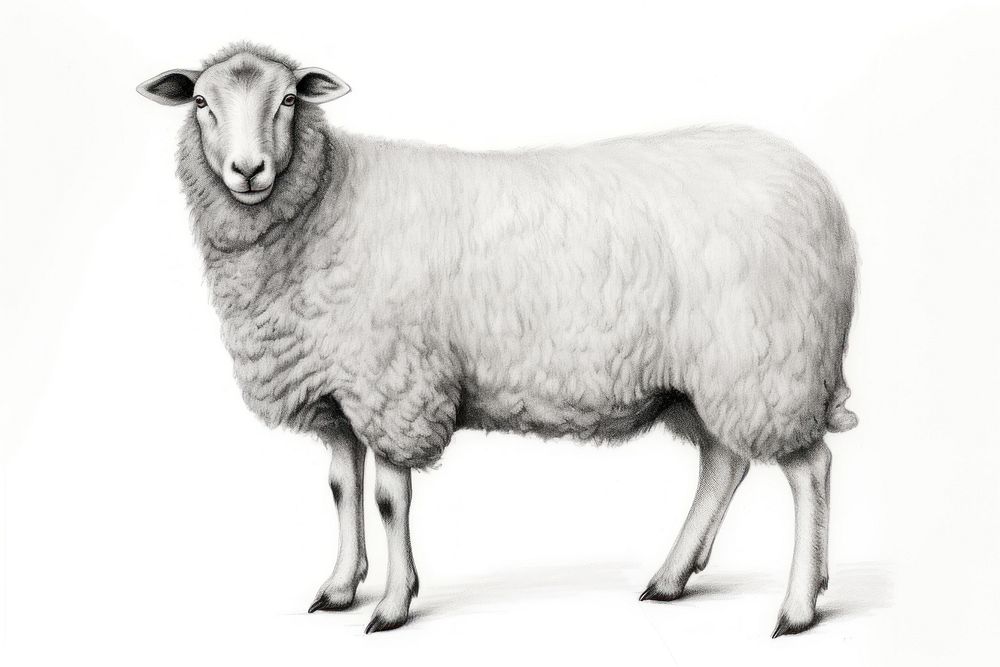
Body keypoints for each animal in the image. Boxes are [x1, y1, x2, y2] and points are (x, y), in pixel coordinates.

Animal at [138, 42, 858, 636]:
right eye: (201, 102)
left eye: (288, 99)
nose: (248, 170)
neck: (324, 203)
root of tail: (819, 190)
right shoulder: (337, 390)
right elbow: (342, 487)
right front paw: (340, 588)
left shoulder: (395, 382)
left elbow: (389, 498)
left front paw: (393, 605)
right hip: (711, 374)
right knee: (723, 463)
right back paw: (671, 577)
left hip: (771, 363)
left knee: (810, 469)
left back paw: (797, 607)